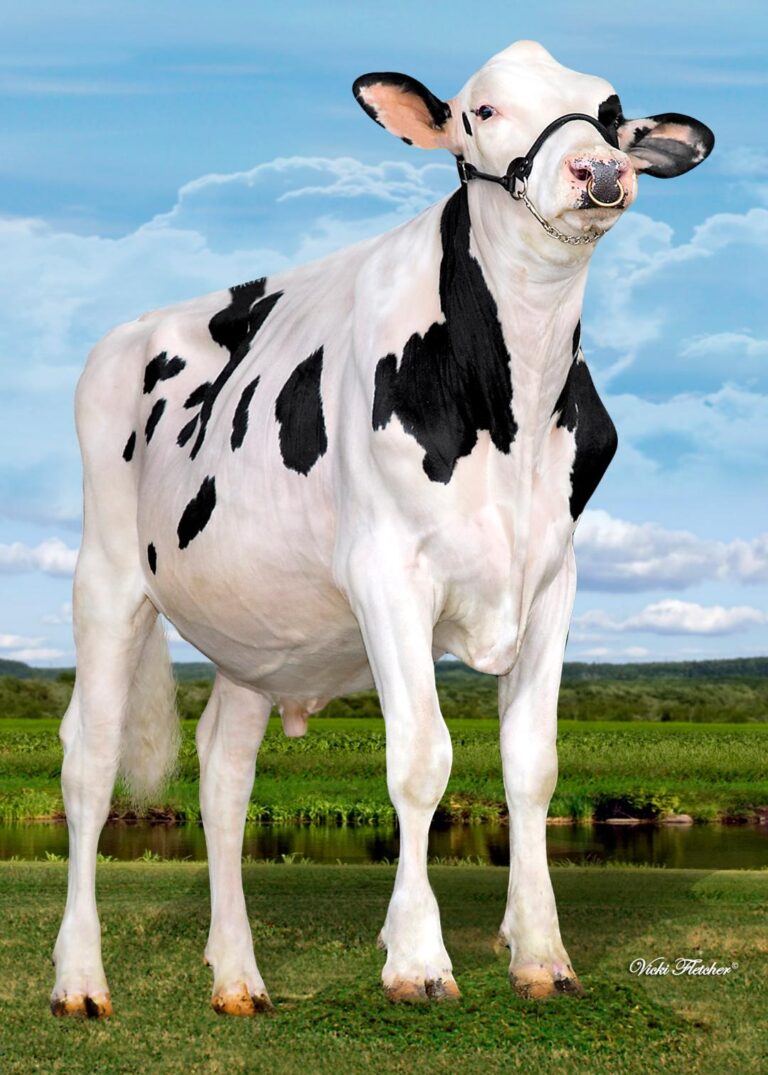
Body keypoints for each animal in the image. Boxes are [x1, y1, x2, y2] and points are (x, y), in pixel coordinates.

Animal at [51, 40, 713, 1018]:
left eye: (609, 109)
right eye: (483, 111)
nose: (599, 169)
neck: (512, 396)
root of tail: (123, 333)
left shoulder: (553, 580)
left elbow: (533, 764)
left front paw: (541, 954)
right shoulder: (386, 573)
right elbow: (420, 759)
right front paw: (417, 957)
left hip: (256, 630)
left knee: (223, 774)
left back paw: (238, 977)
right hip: (106, 579)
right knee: (89, 765)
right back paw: (80, 980)